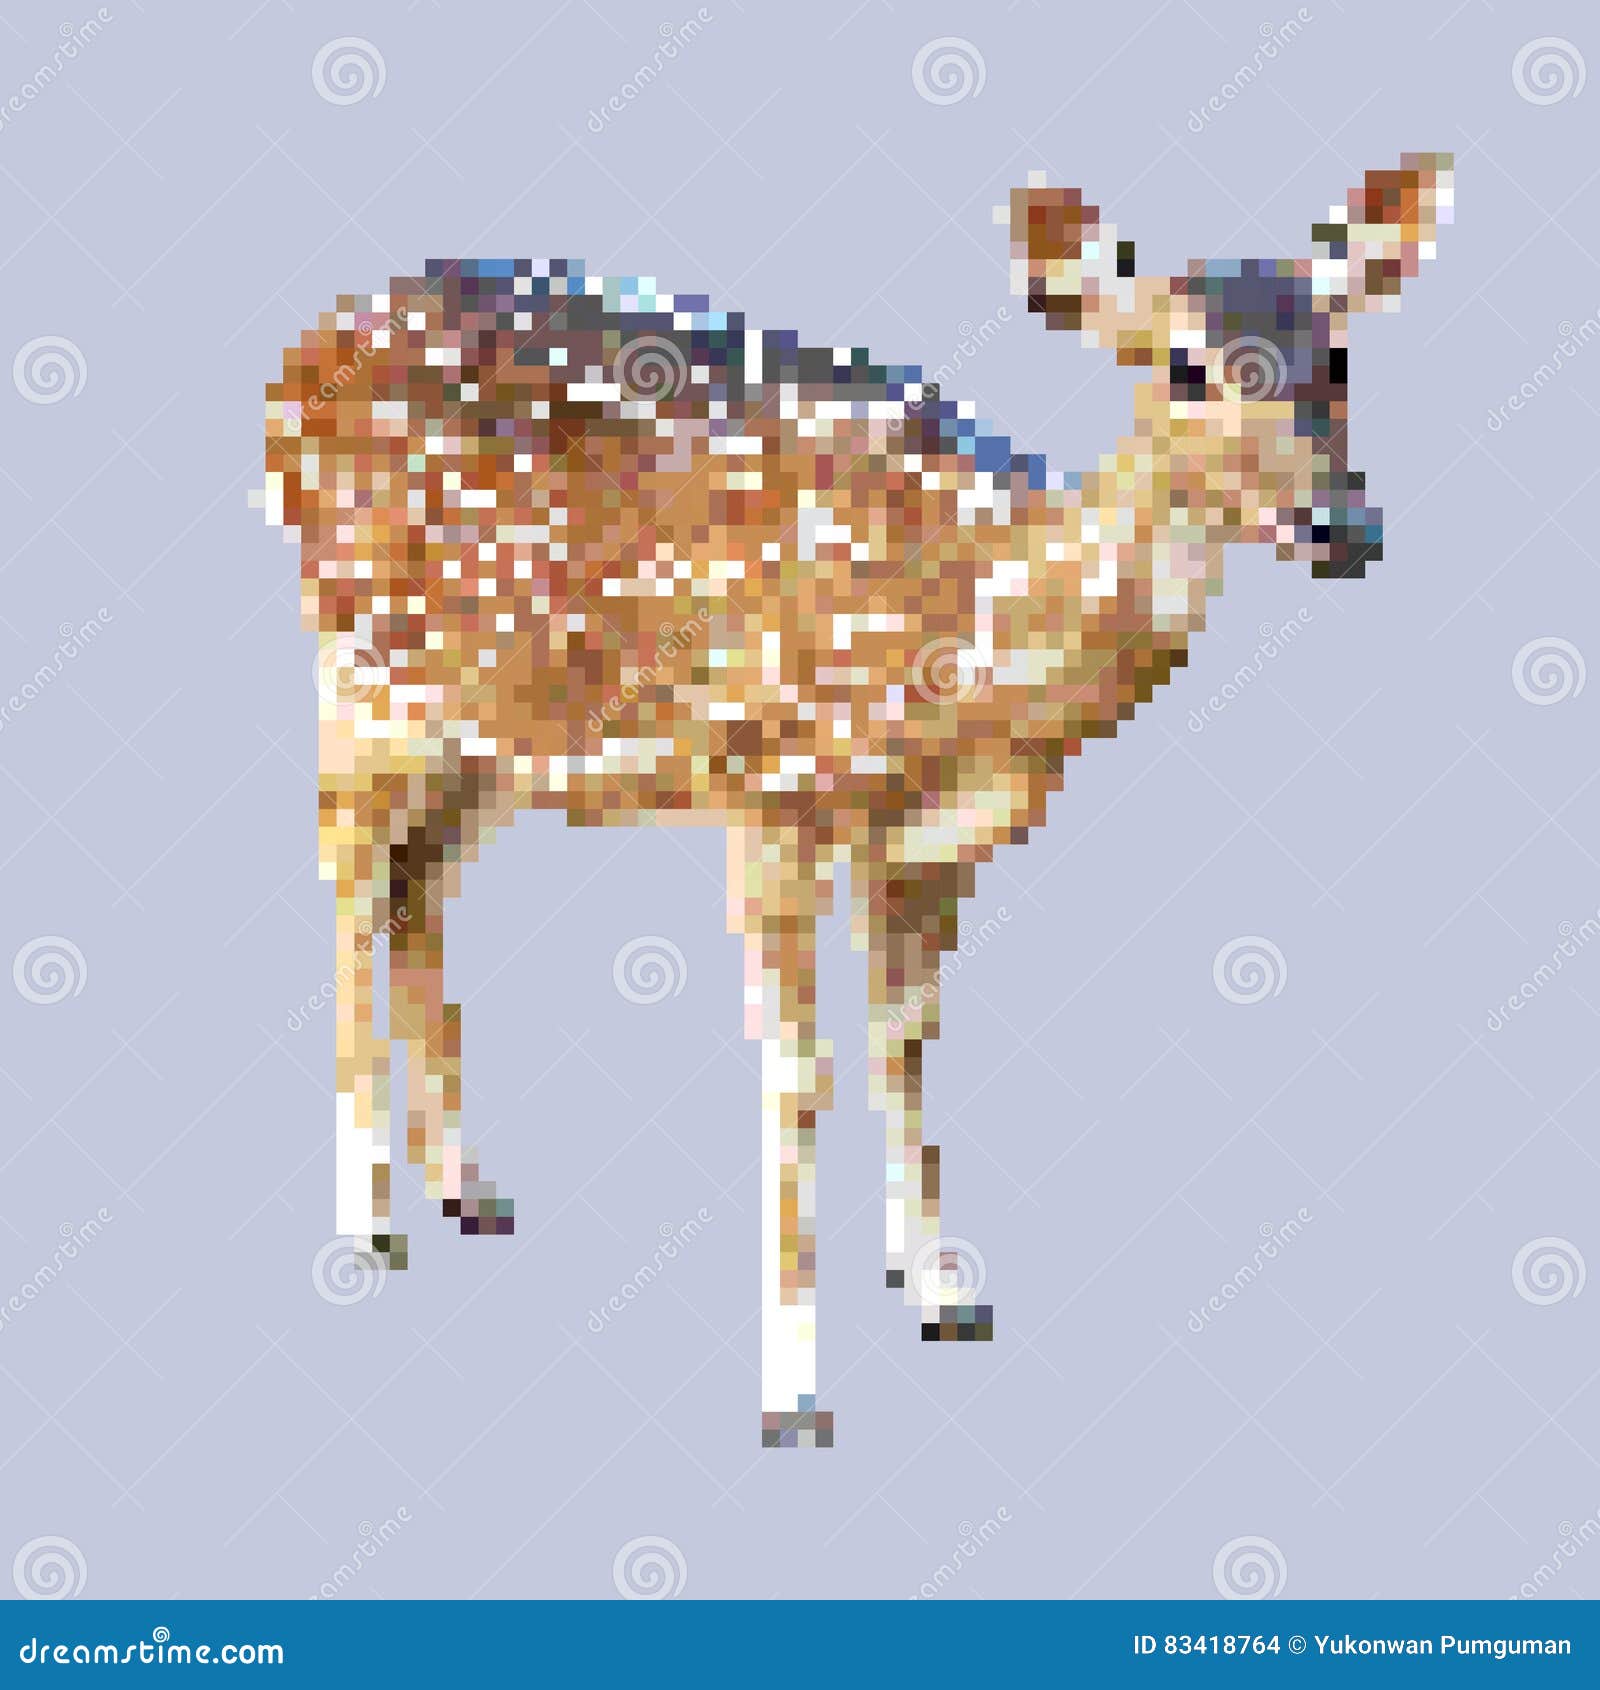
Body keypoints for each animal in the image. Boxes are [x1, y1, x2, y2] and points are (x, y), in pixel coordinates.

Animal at [260, 154, 1452, 1447]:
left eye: (1339, 356)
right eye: (1182, 365)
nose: (1342, 524)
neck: (970, 656)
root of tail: (295, 360)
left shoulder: (931, 847)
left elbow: (906, 1044)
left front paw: (941, 1290)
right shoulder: (770, 790)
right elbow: (797, 1074)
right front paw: (791, 1397)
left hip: (498, 728)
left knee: (418, 881)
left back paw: (470, 1191)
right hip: (358, 665)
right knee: (344, 870)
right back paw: (369, 1225)